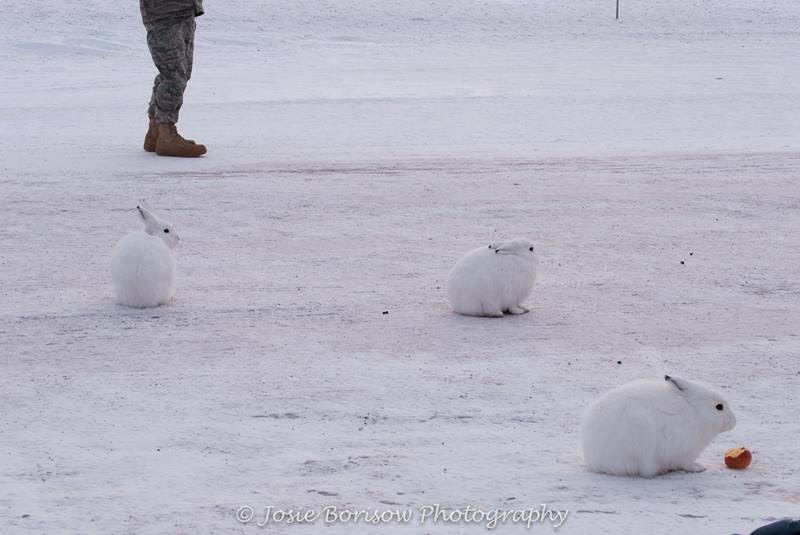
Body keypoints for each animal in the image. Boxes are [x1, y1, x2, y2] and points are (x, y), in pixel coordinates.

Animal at [581, 375, 737, 477]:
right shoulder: (684, 449)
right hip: (642, 438)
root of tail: (598, 463)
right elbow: (686, 463)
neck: (696, 412)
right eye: (719, 407)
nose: (734, 421)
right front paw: (699, 468)